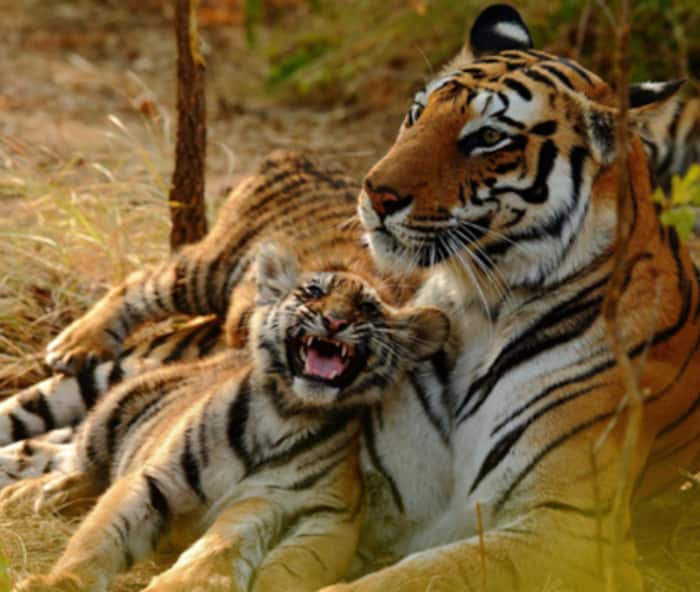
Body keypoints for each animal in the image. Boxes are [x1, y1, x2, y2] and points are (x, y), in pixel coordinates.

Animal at [8, 240, 449, 592]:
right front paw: (55, 583)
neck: (285, 413)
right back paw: (34, 495)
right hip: (109, 414)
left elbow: (238, 547)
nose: (336, 321)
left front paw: (190, 582)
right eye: (313, 292)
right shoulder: (153, 480)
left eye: (368, 307)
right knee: (78, 462)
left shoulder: (278, 500)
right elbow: (95, 540)